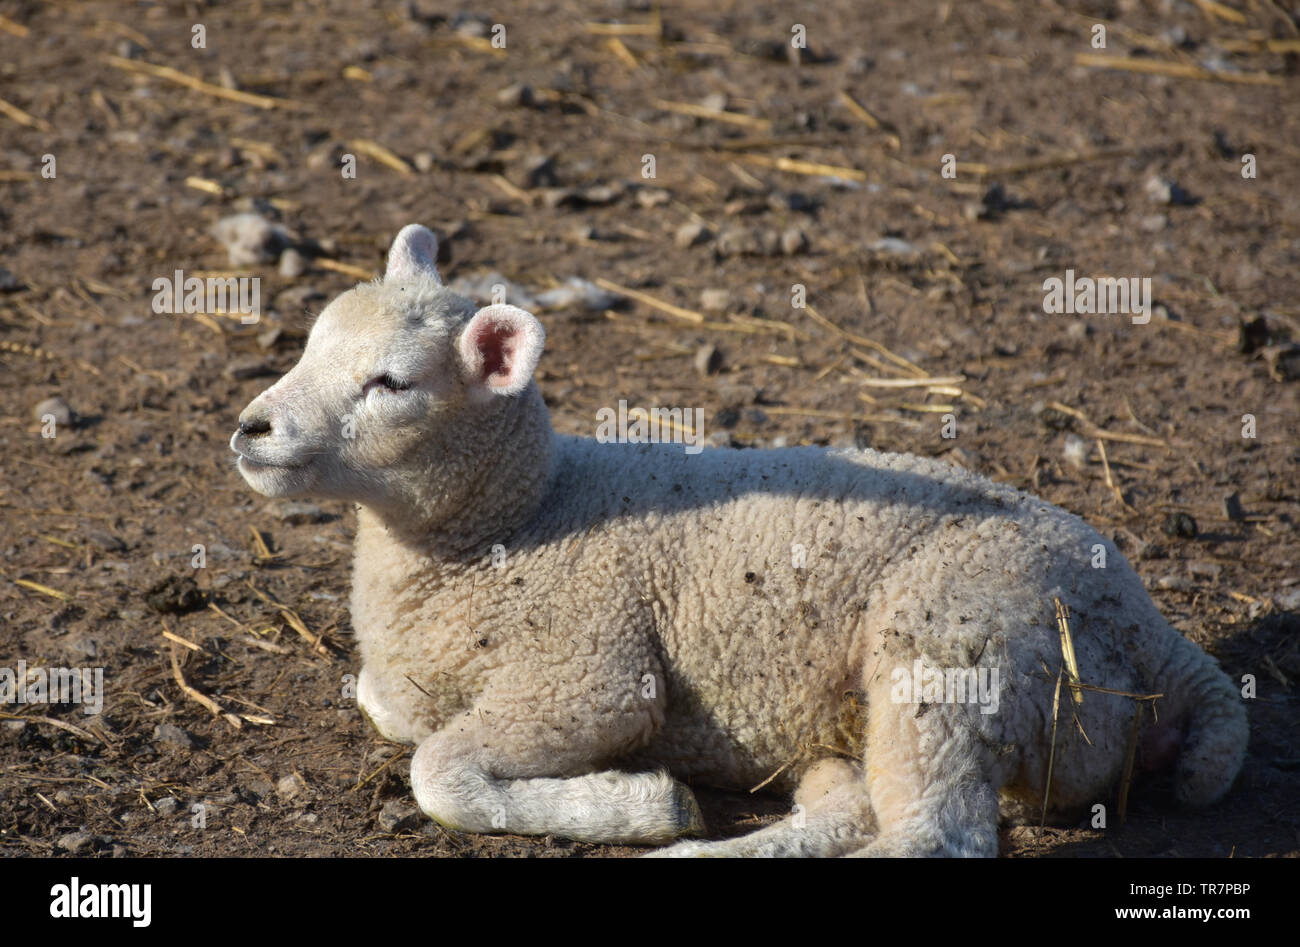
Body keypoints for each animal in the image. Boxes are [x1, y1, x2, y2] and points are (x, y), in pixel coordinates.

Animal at [230, 224, 1247, 856]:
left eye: (390, 383)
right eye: (310, 341)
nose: (250, 429)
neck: (522, 520)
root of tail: (1162, 638)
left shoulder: (589, 672)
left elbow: (436, 771)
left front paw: (640, 801)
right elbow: (386, 704)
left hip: (956, 648)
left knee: (934, 834)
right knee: (856, 806)